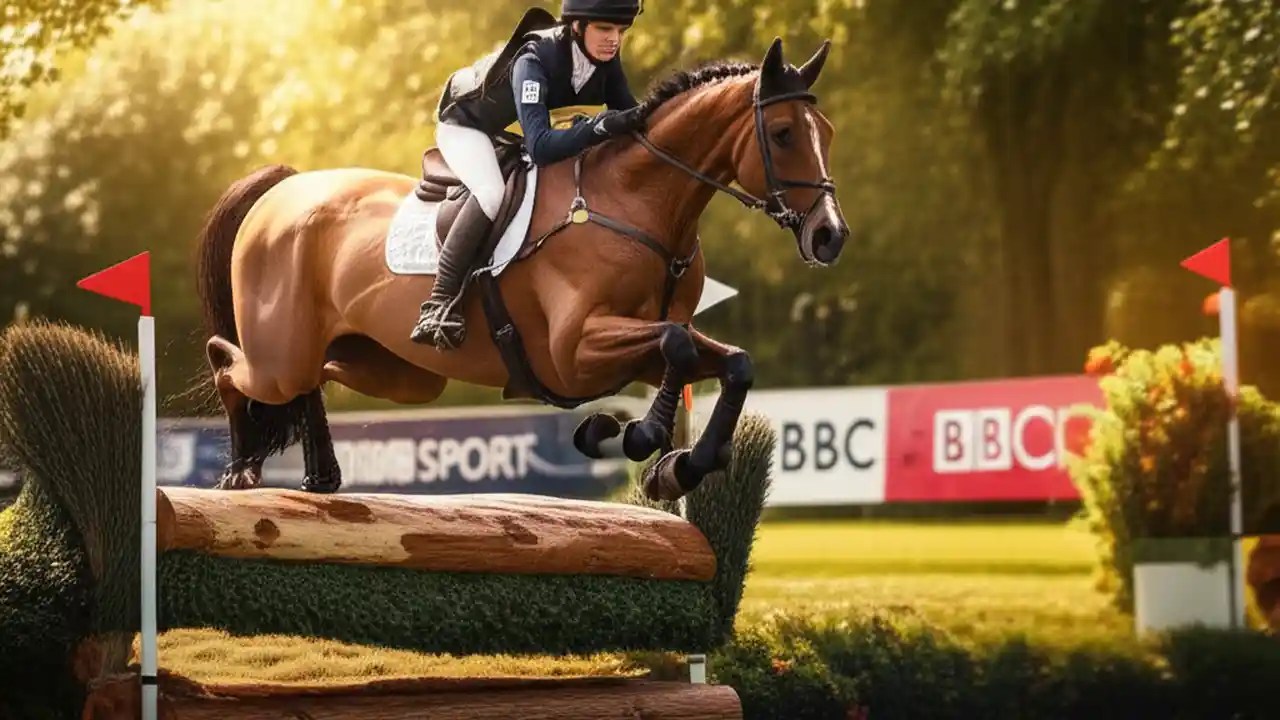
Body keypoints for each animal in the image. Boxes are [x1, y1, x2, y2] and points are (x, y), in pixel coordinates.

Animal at [193, 37, 850, 502]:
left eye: (828, 133)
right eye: (783, 134)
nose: (830, 236)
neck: (636, 203)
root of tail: (282, 192)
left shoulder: (630, 346)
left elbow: (729, 362)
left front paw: (678, 467)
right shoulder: (574, 349)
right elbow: (676, 345)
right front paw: (636, 438)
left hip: (389, 368)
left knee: (313, 378)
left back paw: (320, 476)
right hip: (280, 355)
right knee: (230, 365)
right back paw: (242, 471)